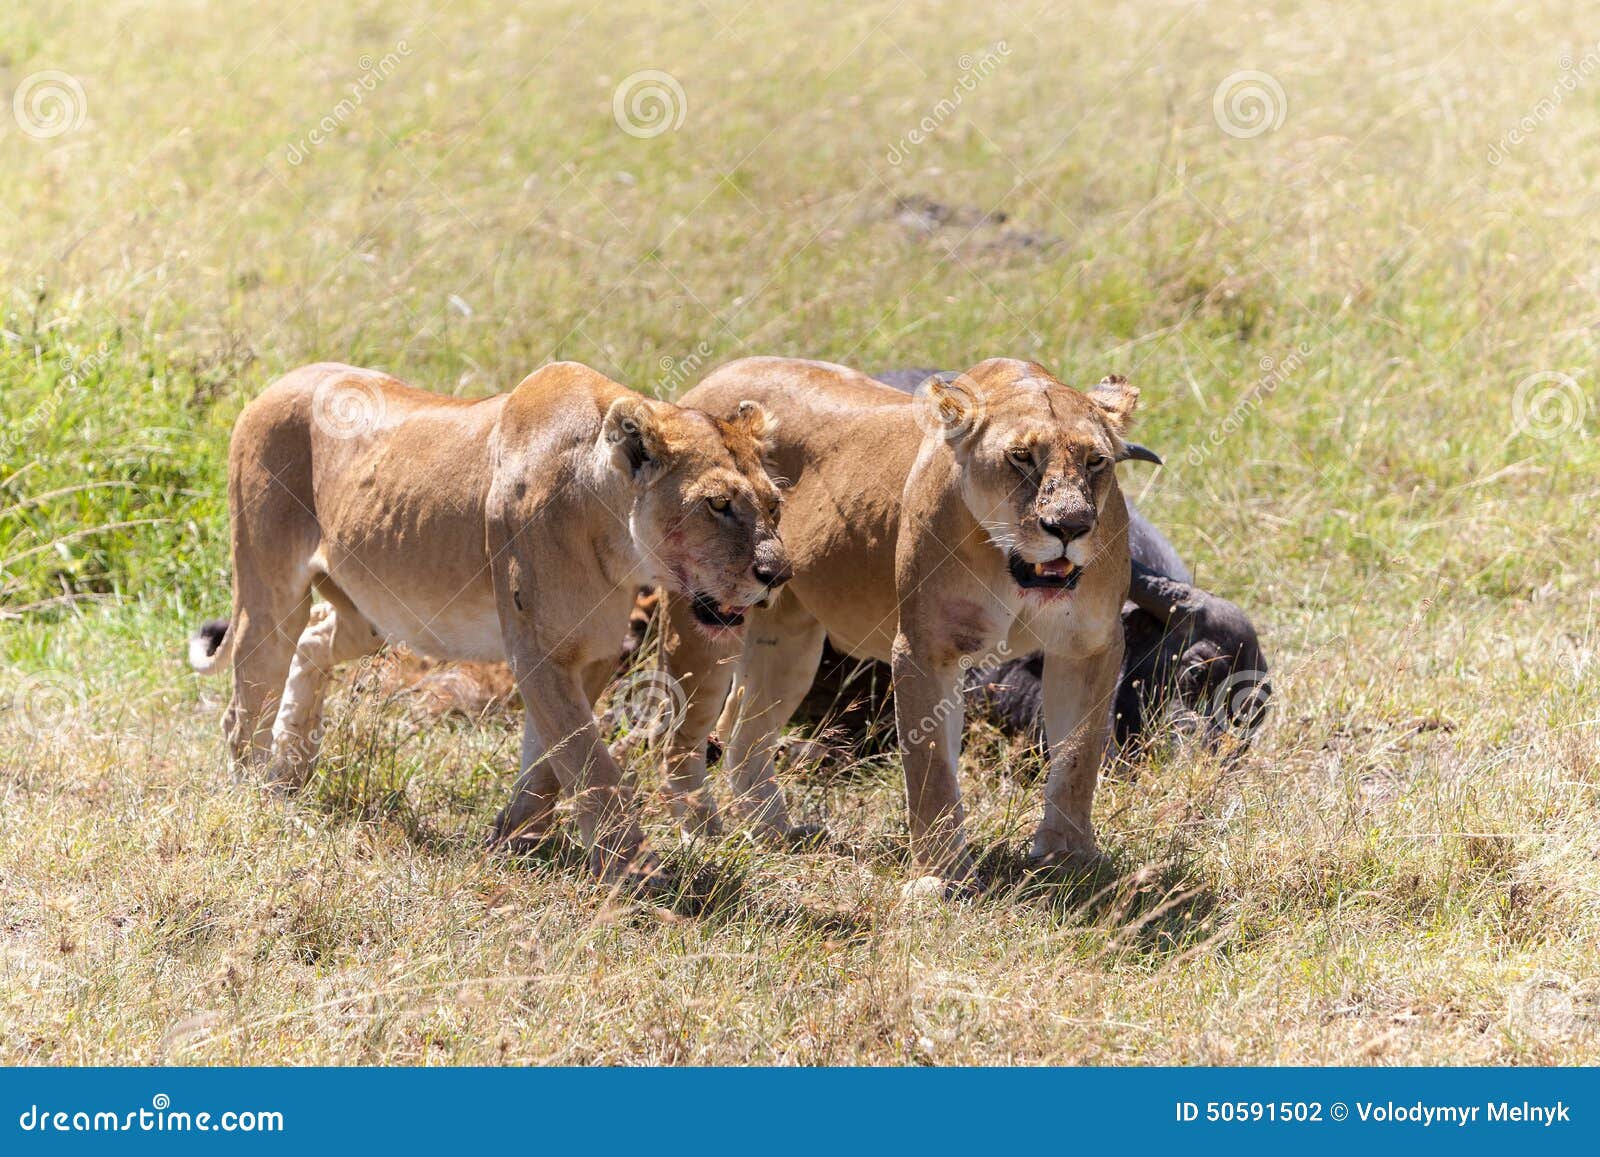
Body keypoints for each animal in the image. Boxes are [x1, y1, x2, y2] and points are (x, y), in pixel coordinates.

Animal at [188, 361, 790, 884]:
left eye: (774, 505)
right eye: (717, 504)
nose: (779, 574)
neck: (614, 531)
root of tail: (282, 380)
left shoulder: (592, 650)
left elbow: (549, 763)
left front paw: (510, 841)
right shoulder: (539, 648)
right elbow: (590, 765)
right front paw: (637, 874)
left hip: (372, 613)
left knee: (314, 637)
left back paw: (290, 772)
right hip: (268, 590)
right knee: (246, 699)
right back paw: (256, 797)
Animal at [658, 357, 1144, 894]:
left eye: (1096, 461)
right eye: (1021, 457)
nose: (1070, 527)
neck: (1014, 567)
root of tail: (714, 377)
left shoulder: (1089, 645)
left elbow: (1079, 754)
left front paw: (1069, 858)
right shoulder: (926, 648)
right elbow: (932, 767)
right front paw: (940, 876)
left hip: (788, 638)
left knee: (744, 734)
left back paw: (775, 832)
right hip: (704, 624)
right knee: (680, 738)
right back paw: (702, 836)